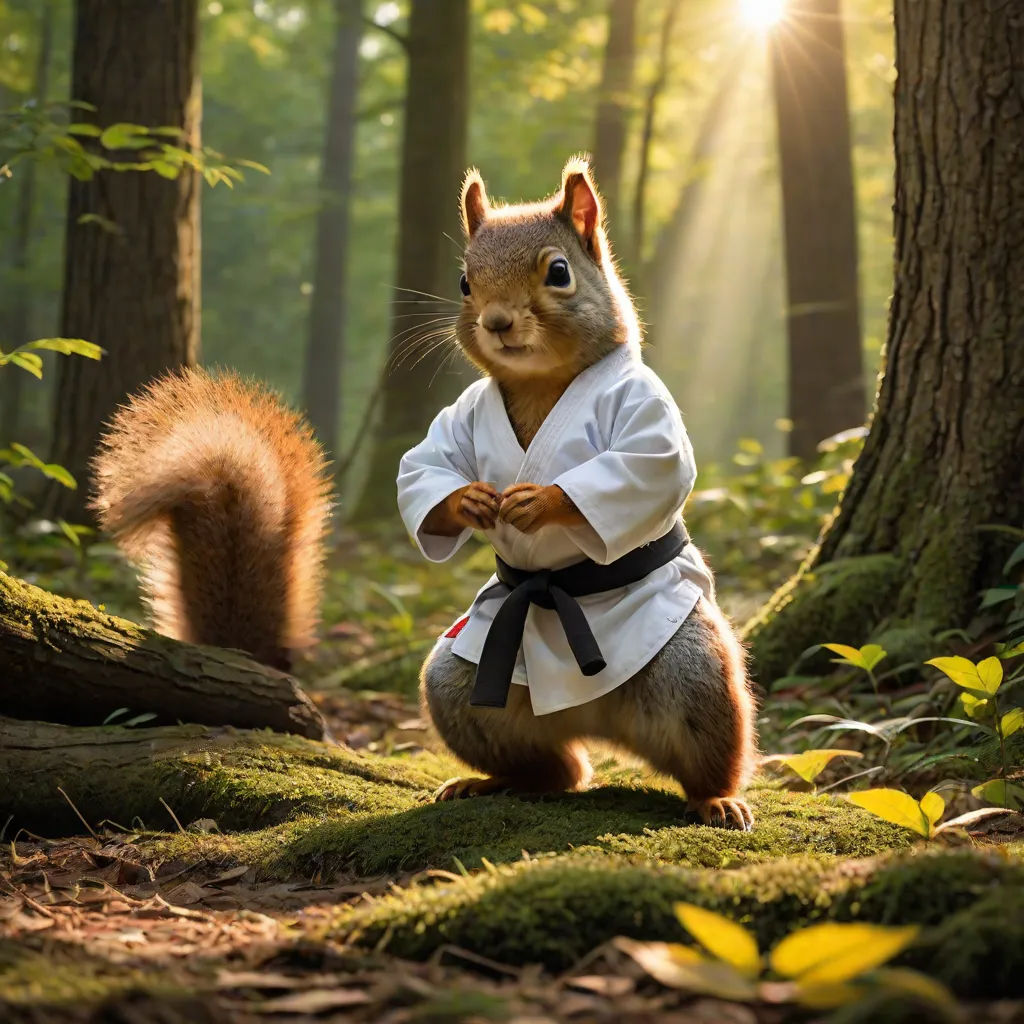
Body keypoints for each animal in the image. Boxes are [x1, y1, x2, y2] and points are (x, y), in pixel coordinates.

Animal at [399, 157, 758, 829]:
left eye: (559, 272)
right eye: (464, 283)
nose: (497, 322)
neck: (543, 381)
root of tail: (592, 716)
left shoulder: (649, 413)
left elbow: (648, 462)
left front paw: (540, 503)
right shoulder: (455, 420)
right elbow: (424, 467)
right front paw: (469, 504)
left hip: (693, 671)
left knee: (708, 746)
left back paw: (718, 799)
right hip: (463, 691)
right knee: (559, 771)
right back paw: (493, 783)